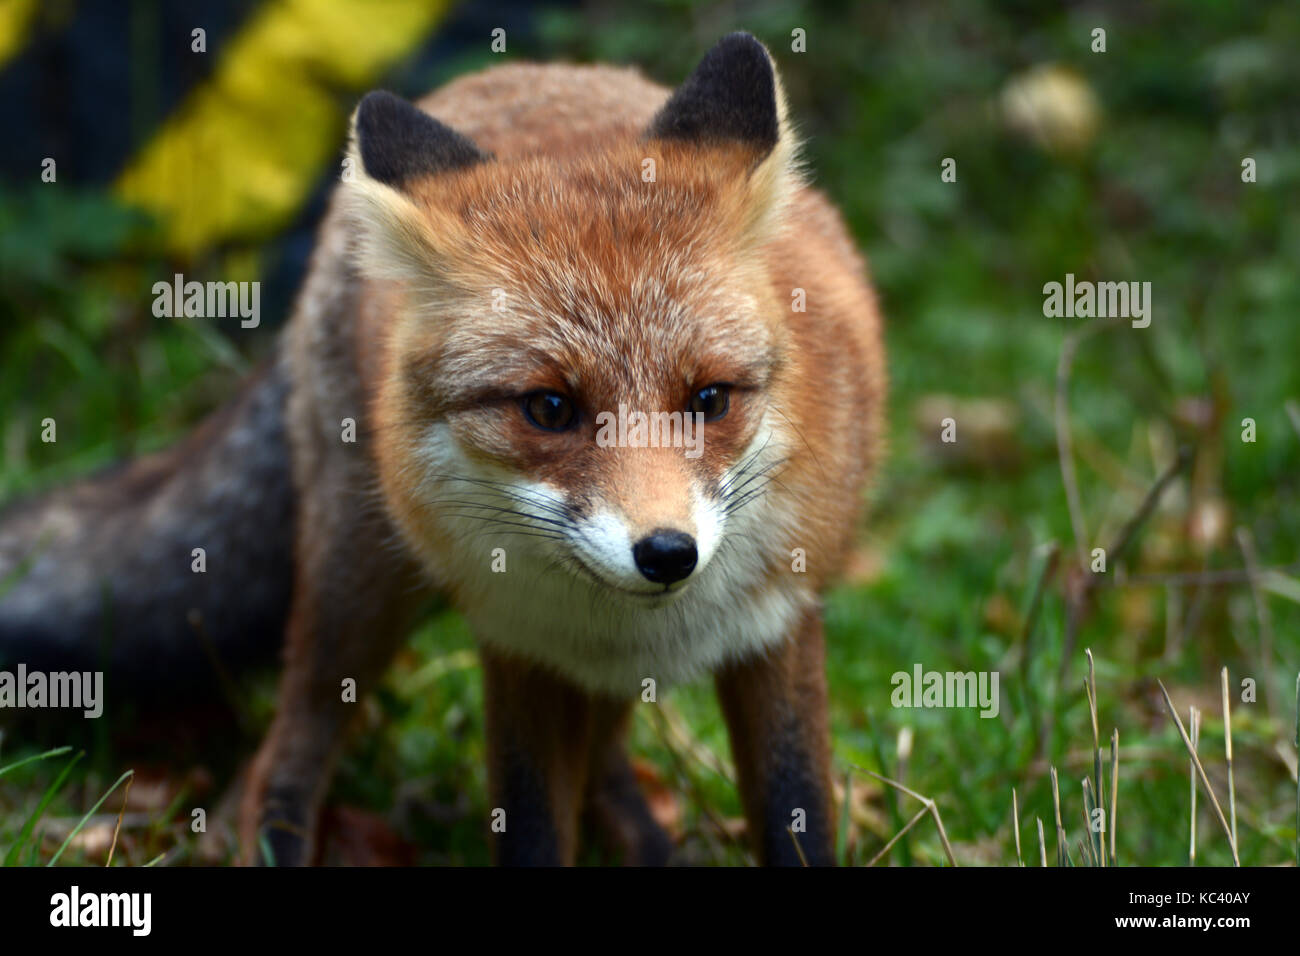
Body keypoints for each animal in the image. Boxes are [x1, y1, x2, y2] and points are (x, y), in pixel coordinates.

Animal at [0, 33, 885, 866]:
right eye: (549, 408)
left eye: (708, 400)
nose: (667, 553)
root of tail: (508, 73)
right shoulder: (519, 645)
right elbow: (529, 827)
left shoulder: (779, 625)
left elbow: (797, 812)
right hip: (356, 581)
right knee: (289, 740)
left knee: (602, 754)